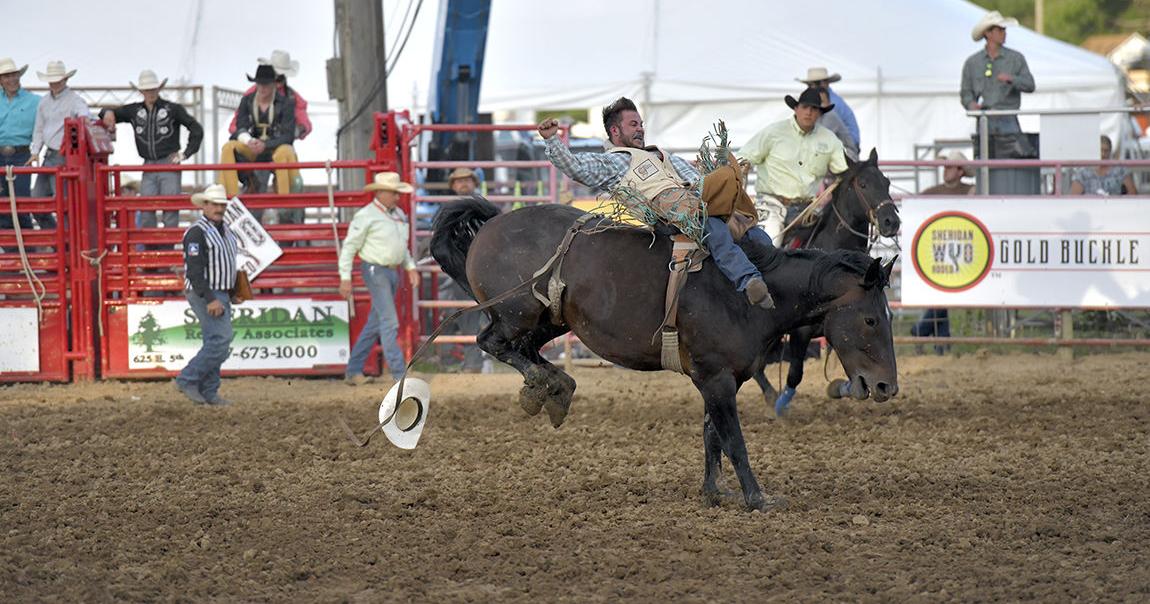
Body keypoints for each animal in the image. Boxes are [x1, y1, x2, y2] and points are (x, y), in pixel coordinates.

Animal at [430, 197, 898, 511]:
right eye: (871, 320)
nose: (885, 386)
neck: (747, 294)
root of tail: (494, 222)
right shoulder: (716, 378)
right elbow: (733, 439)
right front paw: (756, 498)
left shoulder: (721, 380)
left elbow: (712, 435)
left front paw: (715, 492)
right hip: (518, 312)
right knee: (493, 342)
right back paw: (547, 384)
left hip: (554, 318)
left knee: (521, 347)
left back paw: (553, 388)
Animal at [752, 149, 900, 416]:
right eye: (863, 184)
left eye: (887, 182)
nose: (891, 221)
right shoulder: (800, 332)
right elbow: (795, 373)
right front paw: (781, 406)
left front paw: (837, 388)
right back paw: (771, 395)